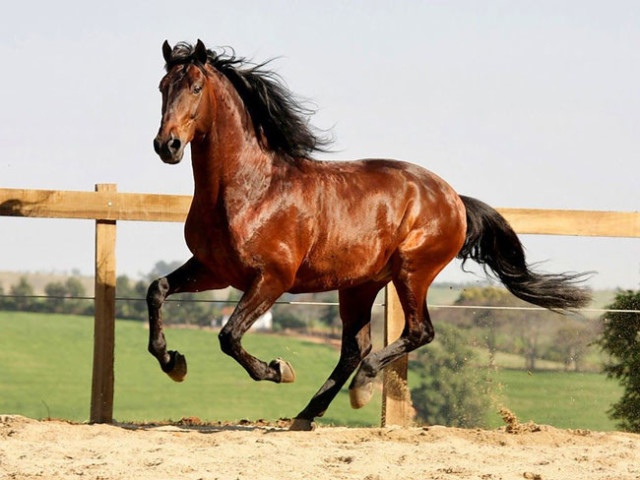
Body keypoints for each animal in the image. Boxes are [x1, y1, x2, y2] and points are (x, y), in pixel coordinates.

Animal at [148, 40, 591, 431]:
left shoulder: (272, 278)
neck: (250, 190)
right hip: (359, 284)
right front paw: (173, 362)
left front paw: (279, 369)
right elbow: (158, 290)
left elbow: (228, 335)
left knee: (415, 333)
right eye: (162, 86)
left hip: (411, 272)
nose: (166, 145)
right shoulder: (214, 269)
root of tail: (453, 198)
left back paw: (361, 385)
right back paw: (307, 413)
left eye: (196, 87)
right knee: (354, 348)